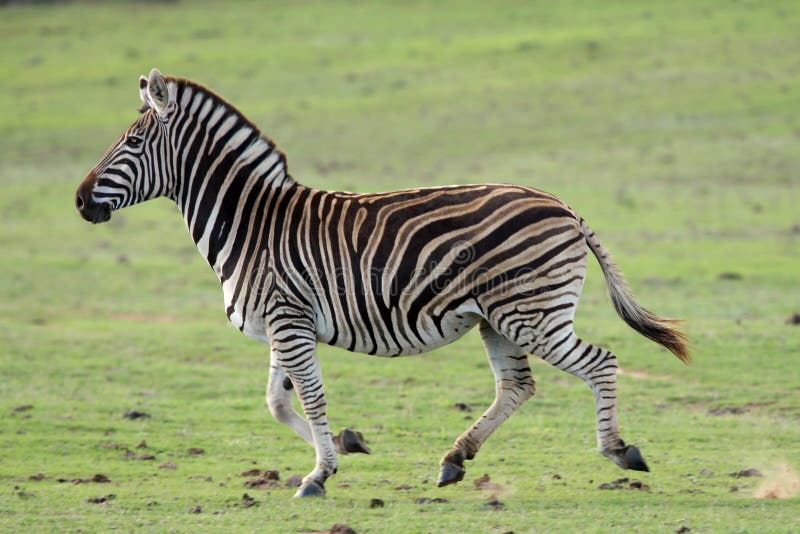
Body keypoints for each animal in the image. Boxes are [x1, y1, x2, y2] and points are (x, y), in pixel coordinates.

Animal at [76, 69, 689, 498]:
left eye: (132, 143)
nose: (80, 201)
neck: (251, 223)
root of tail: (563, 205)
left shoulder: (290, 322)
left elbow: (311, 398)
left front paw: (318, 474)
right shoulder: (282, 323)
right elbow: (277, 402)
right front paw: (345, 445)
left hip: (530, 314)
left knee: (601, 363)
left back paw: (619, 451)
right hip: (498, 319)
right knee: (517, 386)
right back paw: (453, 459)